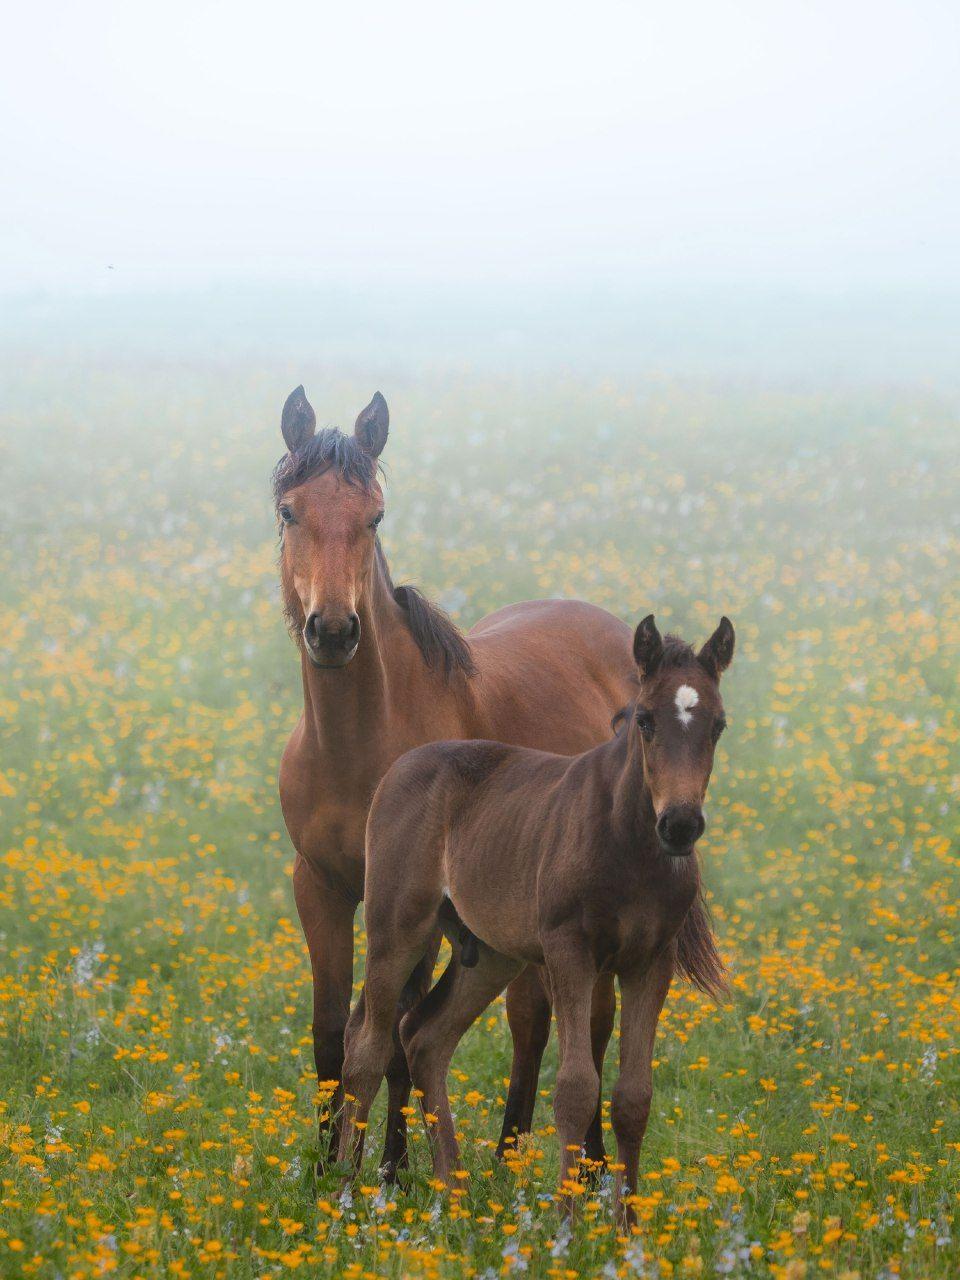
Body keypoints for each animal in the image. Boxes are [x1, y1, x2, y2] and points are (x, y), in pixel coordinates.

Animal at [273, 384, 711, 1172]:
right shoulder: (318, 885)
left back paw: (543, 1163)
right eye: (290, 511)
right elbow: (330, 1031)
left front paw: (391, 1171)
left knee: (555, 1025)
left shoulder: (410, 899)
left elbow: (392, 1035)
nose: (334, 629)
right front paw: (327, 1167)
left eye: (374, 516)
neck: (357, 745)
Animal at [343, 611, 732, 1218]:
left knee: (425, 1036)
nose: (681, 824)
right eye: (645, 720)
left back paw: (452, 1192)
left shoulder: (652, 962)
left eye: (717, 725)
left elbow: (632, 1097)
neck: (628, 844)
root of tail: (401, 767)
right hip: (397, 928)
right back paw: (340, 1190)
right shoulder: (570, 950)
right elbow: (575, 1088)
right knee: (368, 1042)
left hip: (489, 954)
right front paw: (567, 1223)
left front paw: (627, 1228)